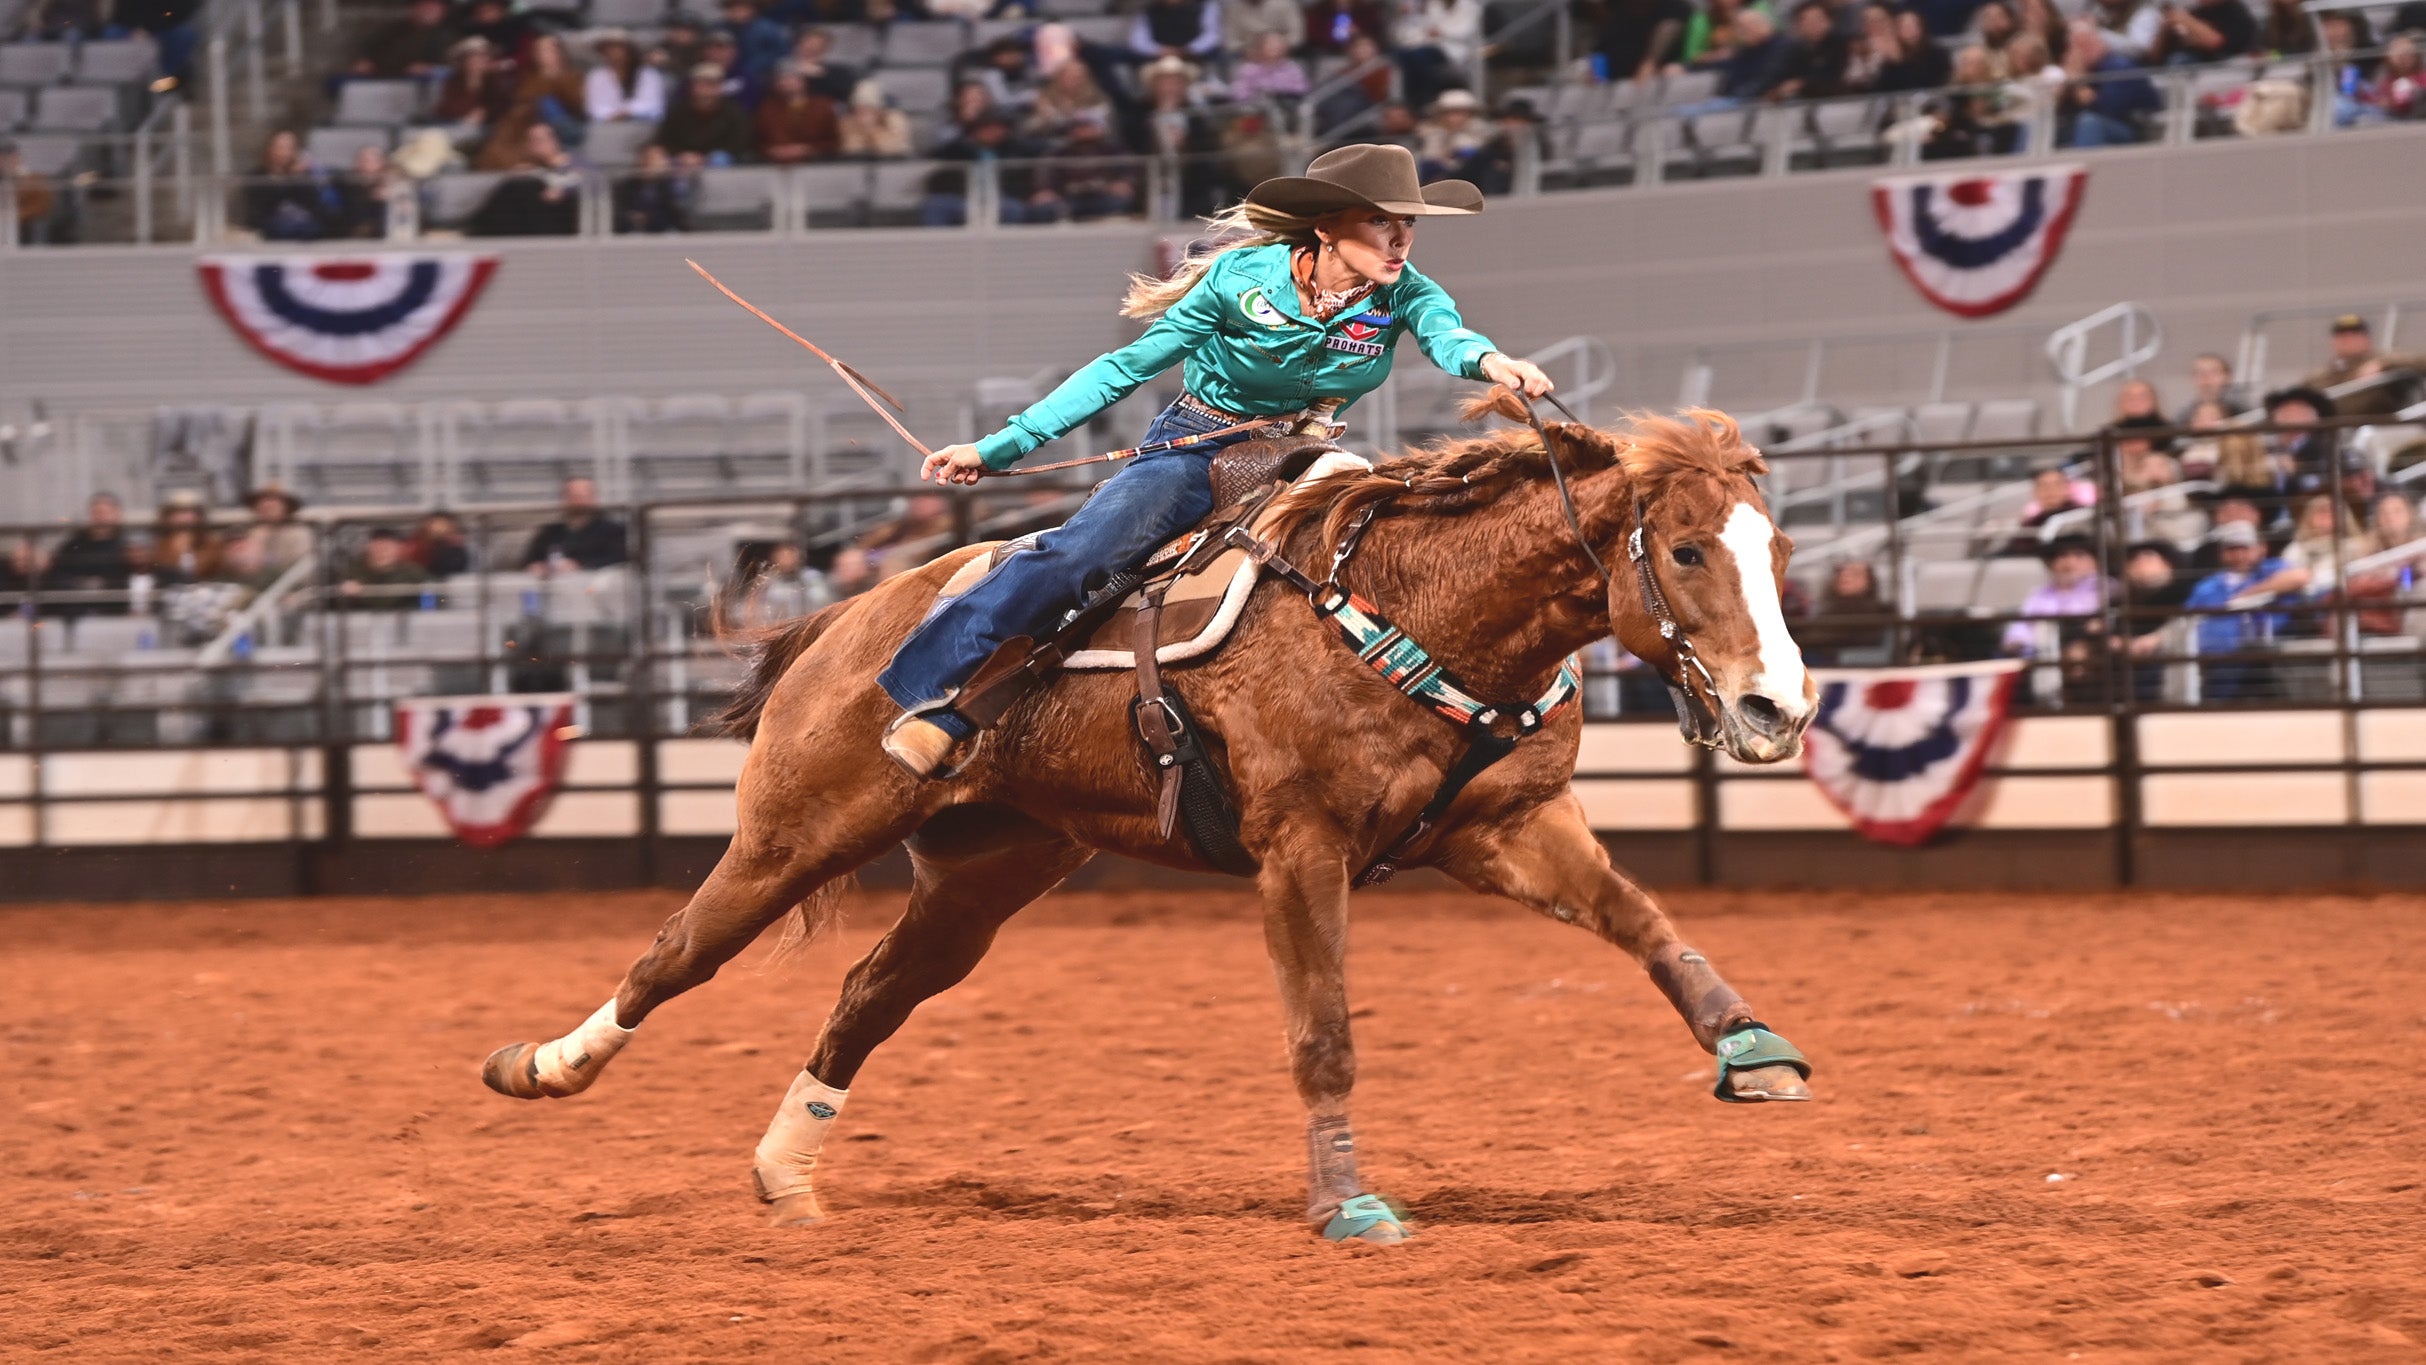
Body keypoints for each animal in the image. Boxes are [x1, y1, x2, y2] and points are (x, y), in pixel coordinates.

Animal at [482, 397, 1814, 1251]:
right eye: (1684, 550)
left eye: (1780, 549)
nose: (1779, 706)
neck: (1415, 607)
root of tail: (847, 618)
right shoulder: (1299, 851)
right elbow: (1323, 1036)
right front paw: (1347, 1207)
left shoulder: (1509, 825)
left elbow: (1641, 921)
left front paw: (1750, 1048)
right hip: (793, 833)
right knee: (675, 956)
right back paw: (540, 1067)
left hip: (981, 879)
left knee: (867, 995)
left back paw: (784, 1178)